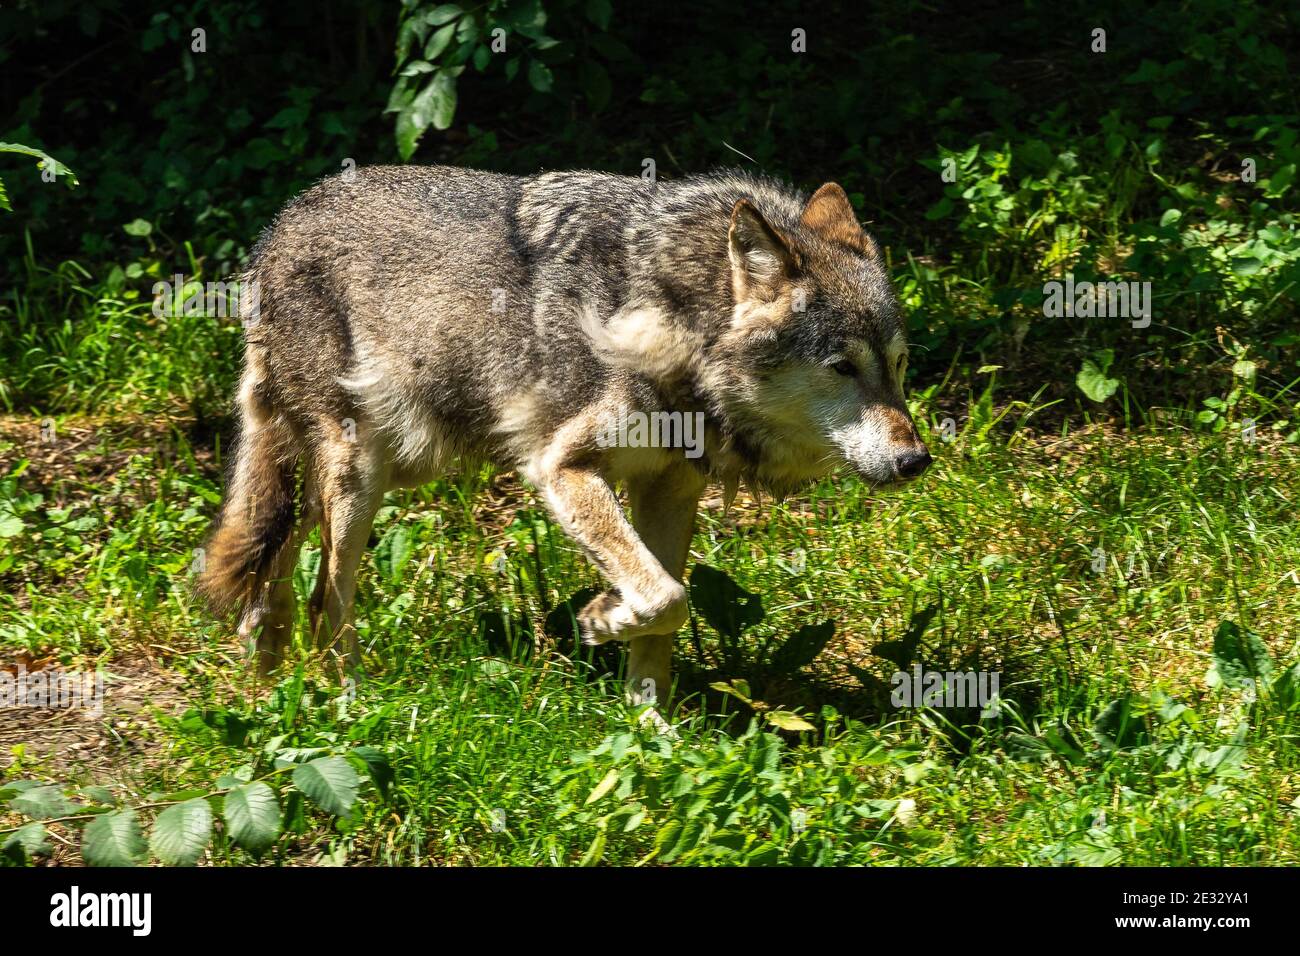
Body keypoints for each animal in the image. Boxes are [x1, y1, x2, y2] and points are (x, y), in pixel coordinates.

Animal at [197, 165, 931, 704]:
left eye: (897, 366)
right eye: (841, 367)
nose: (916, 460)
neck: (681, 322)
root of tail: (276, 230)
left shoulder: (672, 487)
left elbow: (665, 617)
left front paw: (650, 733)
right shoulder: (562, 467)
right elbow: (666, 596)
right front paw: (601, 618)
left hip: (387, 465)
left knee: (269, 587)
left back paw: (270, 699)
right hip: (359, 479)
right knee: (323, 599)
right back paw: (349, 709)